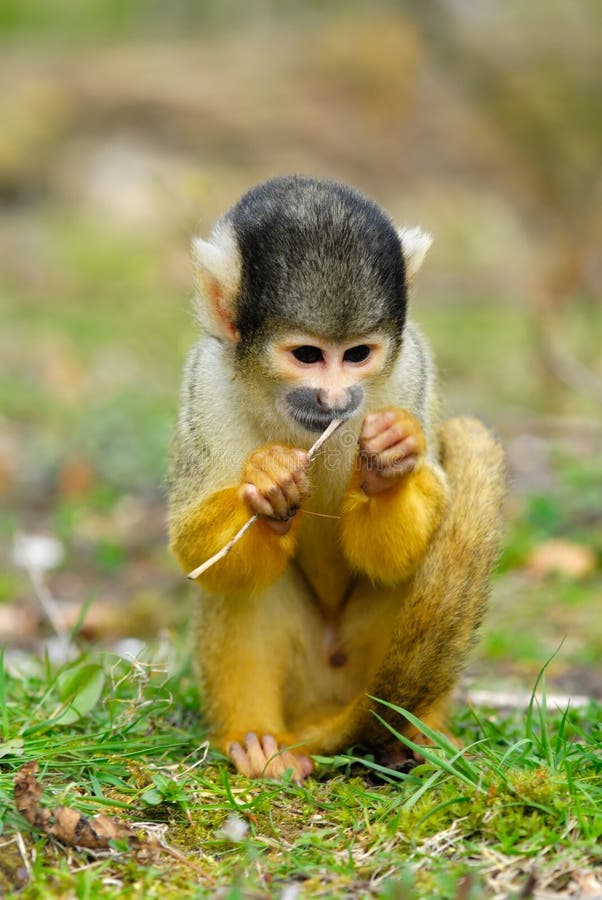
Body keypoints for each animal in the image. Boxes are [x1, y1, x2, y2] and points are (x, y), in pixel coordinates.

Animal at [168, 175, 505, 782]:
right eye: (307, 355)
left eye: (357, 355)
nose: (336, 398)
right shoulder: (207, 385)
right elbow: (196, 551)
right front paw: (270, 483)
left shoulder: (412, 369)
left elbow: (396, 555)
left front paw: (388, 464)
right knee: (248, 589)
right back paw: (256, 739)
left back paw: (418, 733)